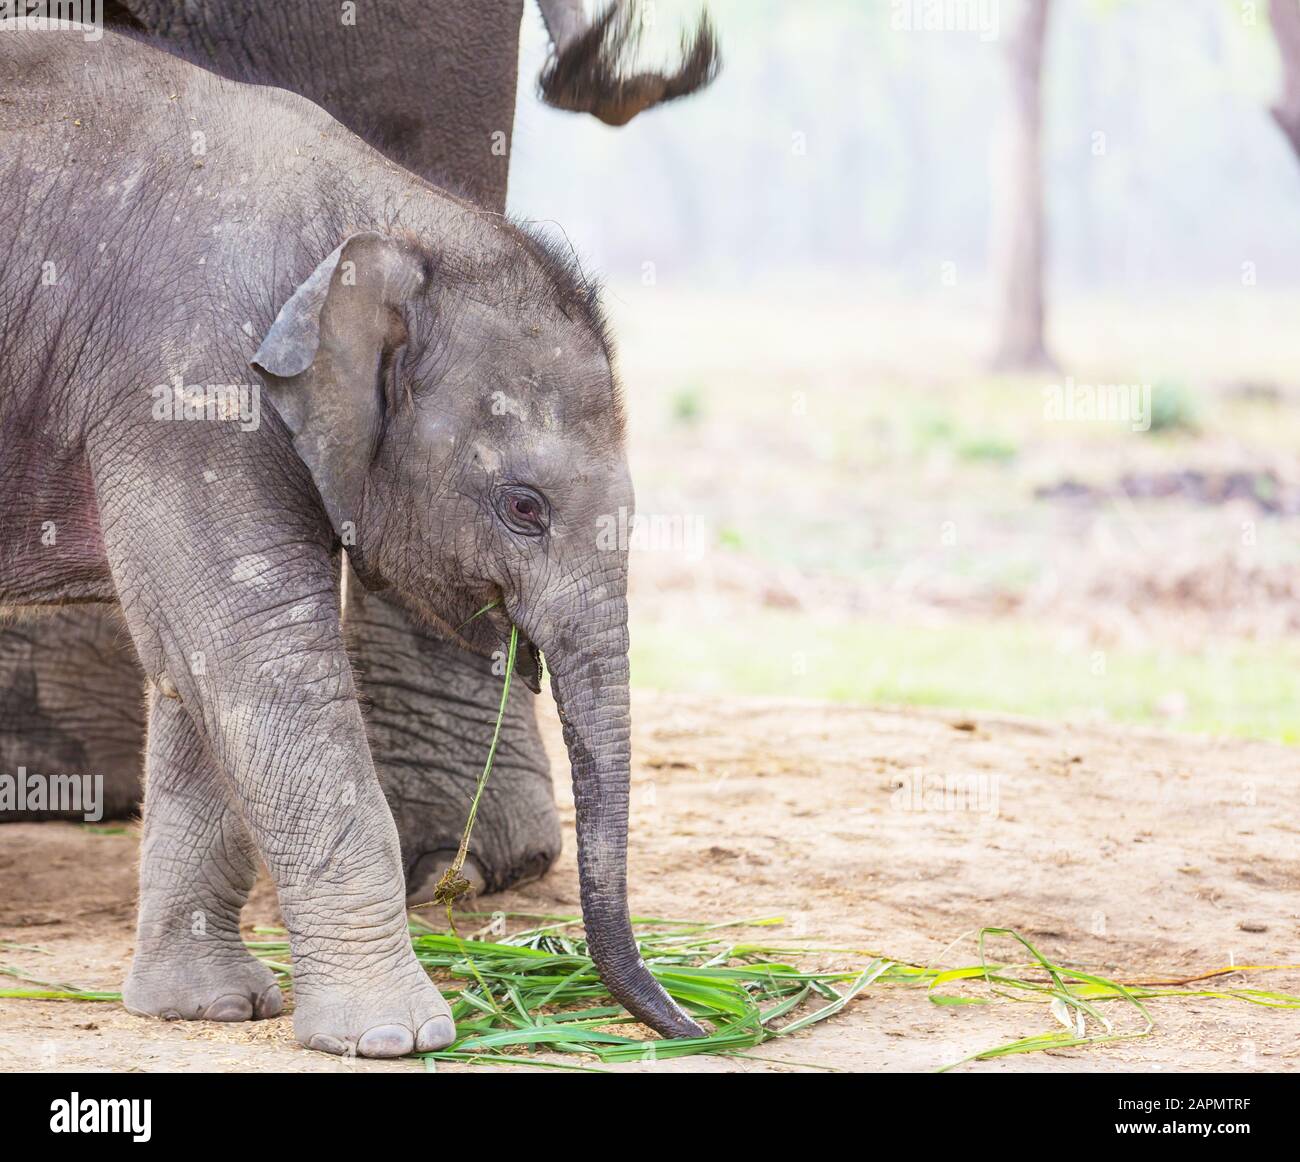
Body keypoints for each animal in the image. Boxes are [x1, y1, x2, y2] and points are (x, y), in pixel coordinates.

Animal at [0, 24, 704, 1053]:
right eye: (524, 508)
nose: (694, 1025)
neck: (384, 221)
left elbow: (194, 671)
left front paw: (213, 1007)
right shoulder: (182, 386)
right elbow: (258, 654)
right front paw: (397, 1037)